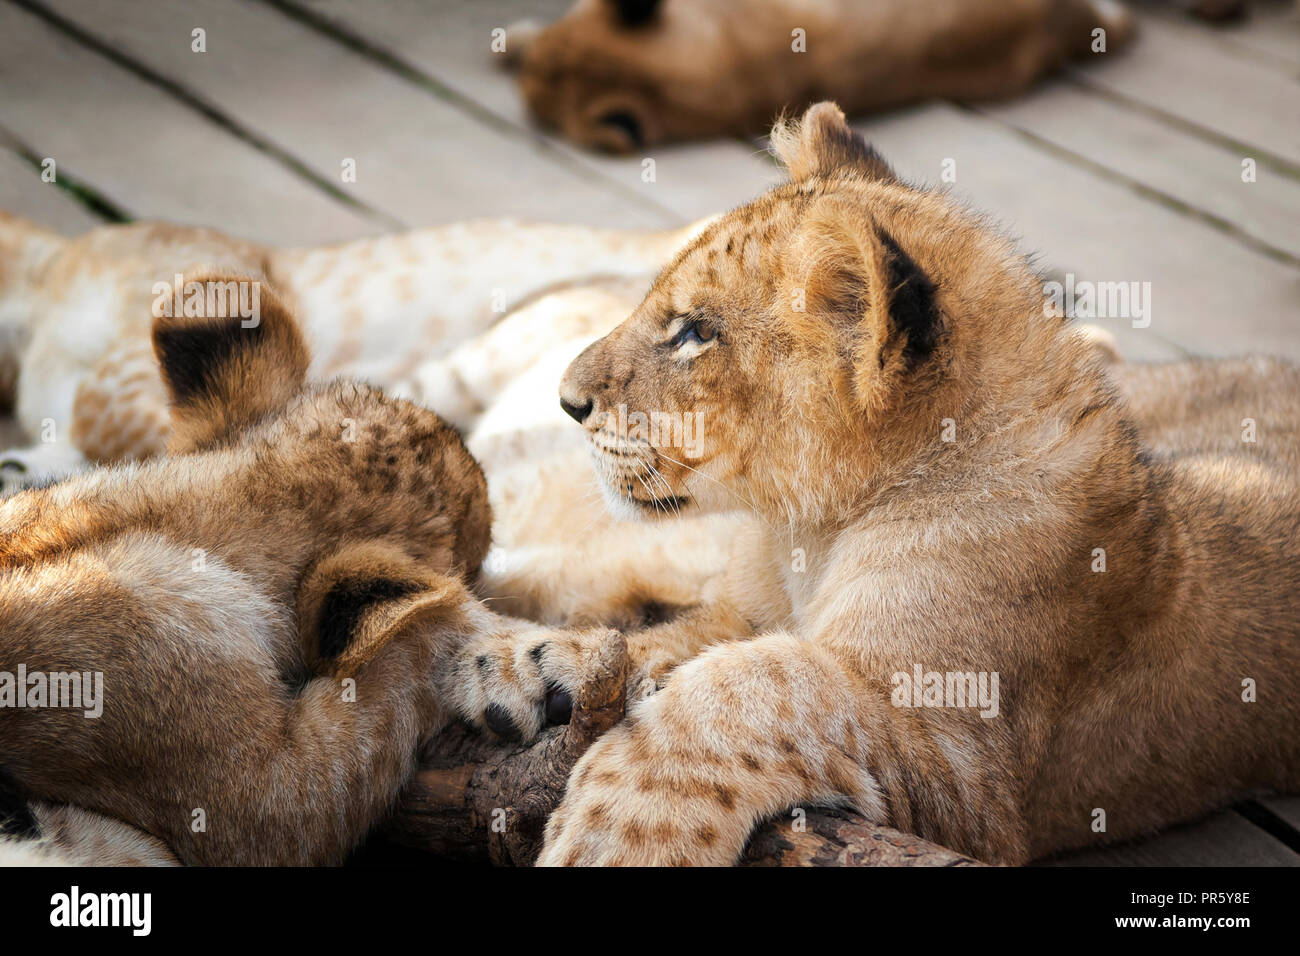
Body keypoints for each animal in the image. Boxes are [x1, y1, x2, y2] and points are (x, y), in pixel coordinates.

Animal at [457, 102, 1300, 865]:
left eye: (695, 332)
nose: (564, 400)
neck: (810, 533)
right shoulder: (737, 607)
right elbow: (663, 641)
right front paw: (522, 666)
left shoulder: (968, 767)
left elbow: (762, 680)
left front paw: (611, 836)